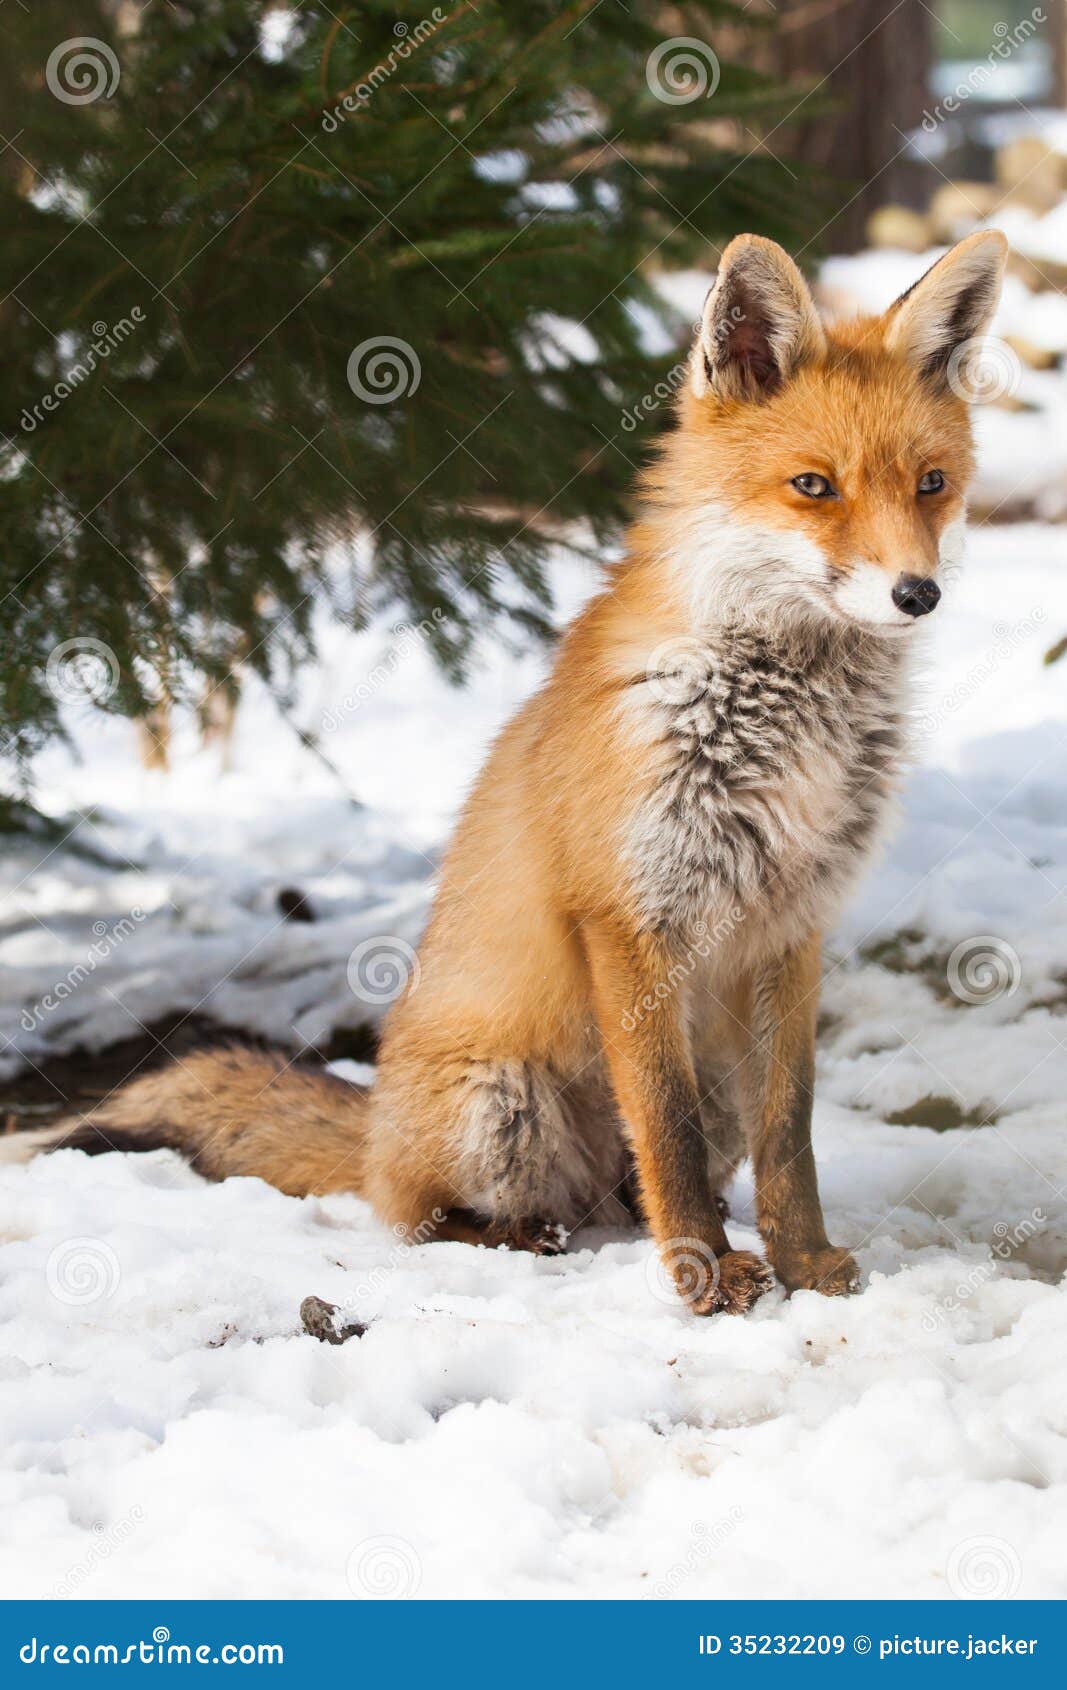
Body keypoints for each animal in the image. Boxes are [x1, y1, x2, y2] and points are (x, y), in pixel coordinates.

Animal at [14, 230, 1008, 1316]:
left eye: (930, 484)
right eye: (814, 487)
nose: (915, 593)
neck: (781, 719)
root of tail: (374, 1131)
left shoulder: (793, 929)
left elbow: (788, 1132)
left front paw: (803, 1264)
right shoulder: (629, 920)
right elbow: (665, 1126)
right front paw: (701, 1276)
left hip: (688, 1081)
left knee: (638, 1183)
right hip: (500, 1105)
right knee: (424, 1218)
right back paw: (526, 1235)